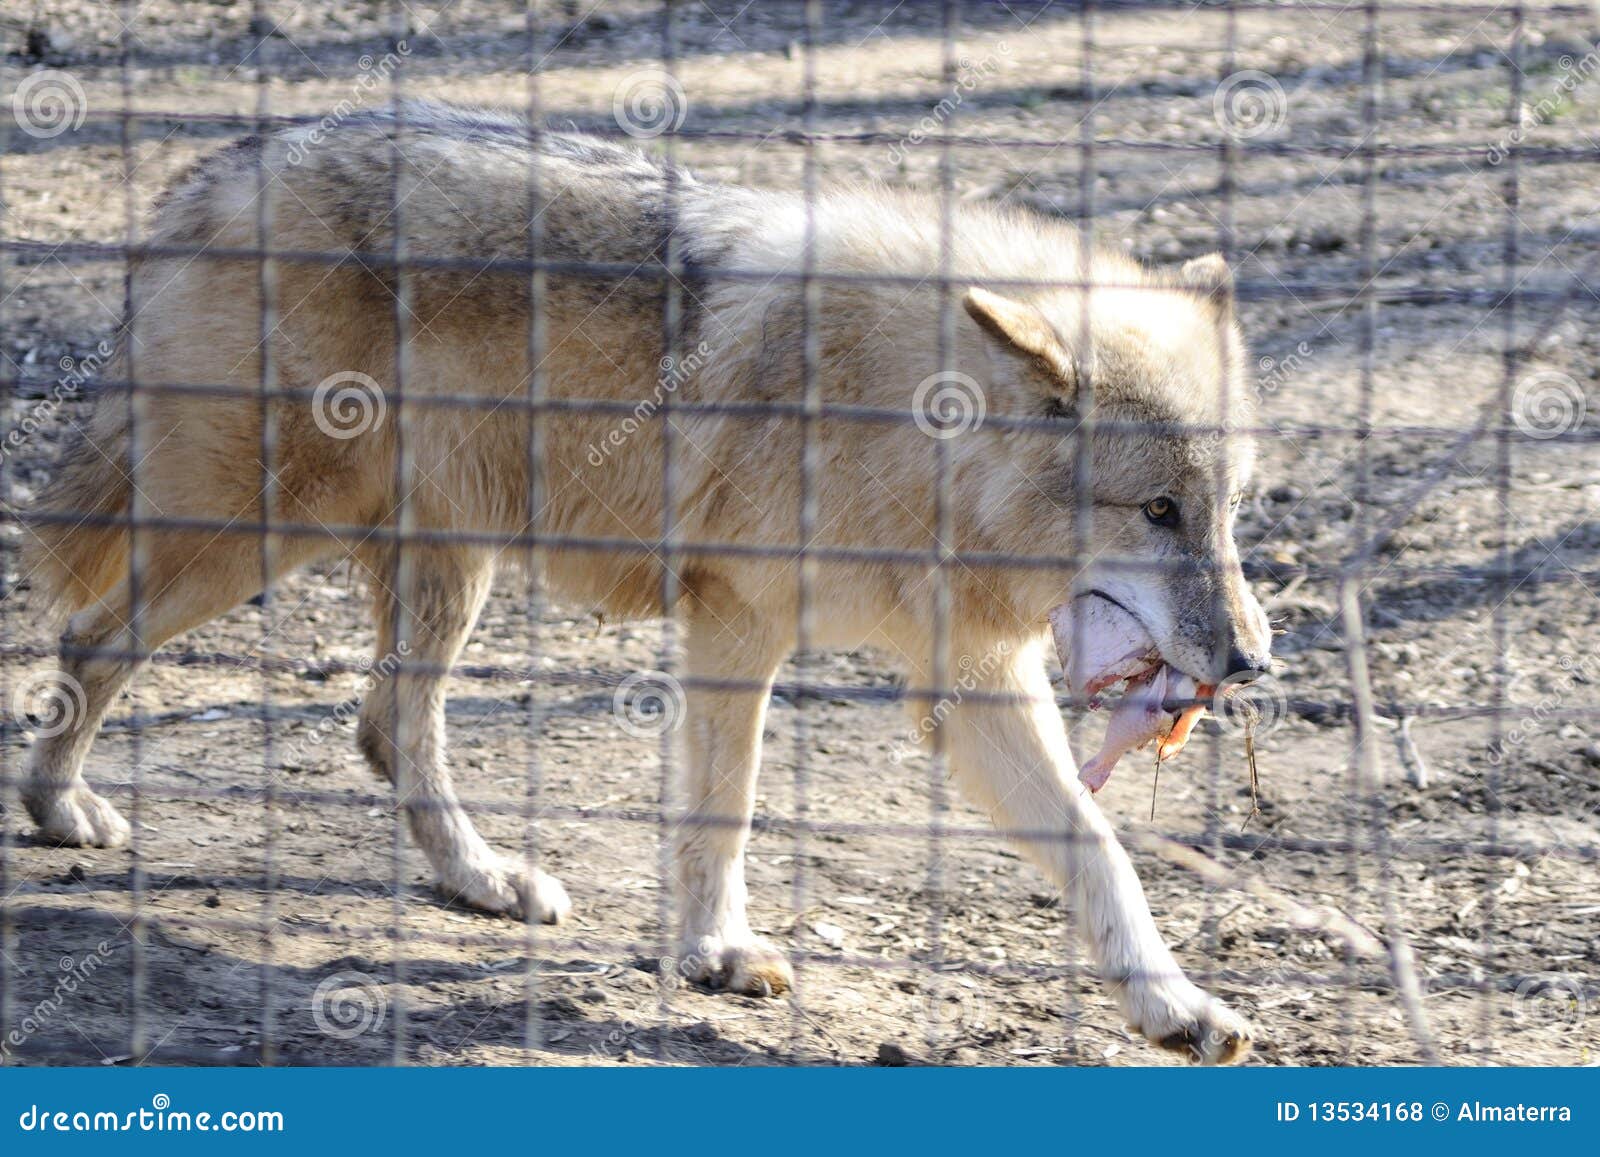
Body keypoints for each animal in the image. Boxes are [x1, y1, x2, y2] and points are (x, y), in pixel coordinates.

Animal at [21, 102, 1271, 1063]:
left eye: (1226, 509)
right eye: (1156, 511)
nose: (1251, 659)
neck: (902, 427)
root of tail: (222, 167)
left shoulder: (967, 680)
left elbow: (1100, 850)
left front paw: (1173, 1004)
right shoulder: (737, 621)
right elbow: (725, 806)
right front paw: (715, 951)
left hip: (447, 563)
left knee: (384, 727)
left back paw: (483, 878)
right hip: (256, 536)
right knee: (89, 641)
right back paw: (57, 808)